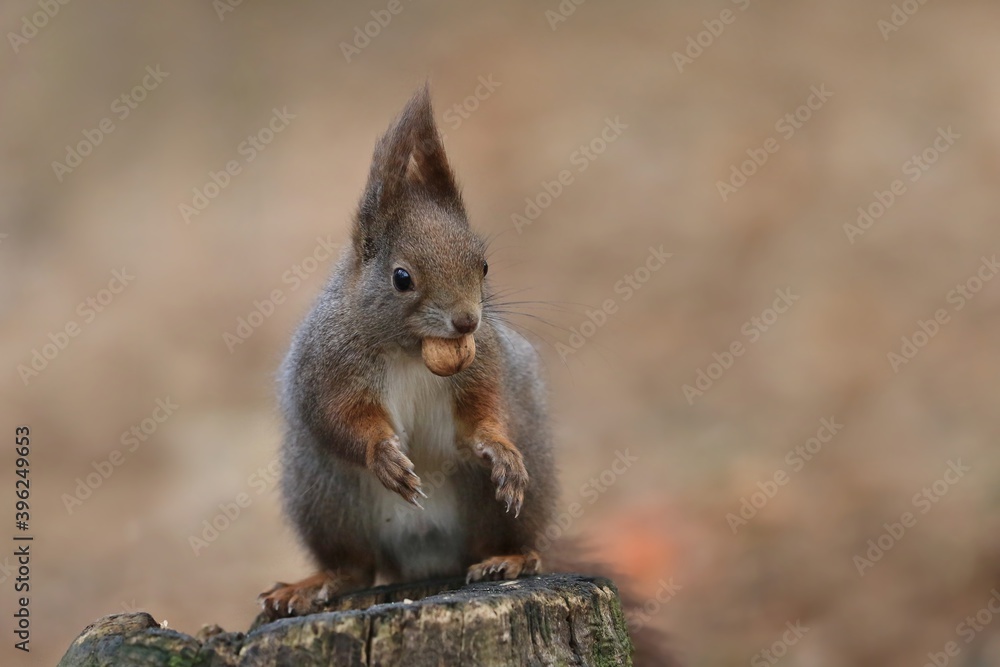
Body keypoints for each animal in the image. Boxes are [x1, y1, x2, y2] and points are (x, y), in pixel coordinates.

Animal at [258, 85, 559, 616]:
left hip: (499, 498)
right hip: (325, 498)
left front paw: (499, 448)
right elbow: (339, 418)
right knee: (356, 566)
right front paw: (383, 455)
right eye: (402, 278)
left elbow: (484, 412)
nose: (467, 321)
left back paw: (510, 558)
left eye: (483, 266)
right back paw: (317, 583)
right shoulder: (327, 368)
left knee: (502, 538)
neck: (415, 352)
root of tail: (424, 560)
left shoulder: (483, 363)